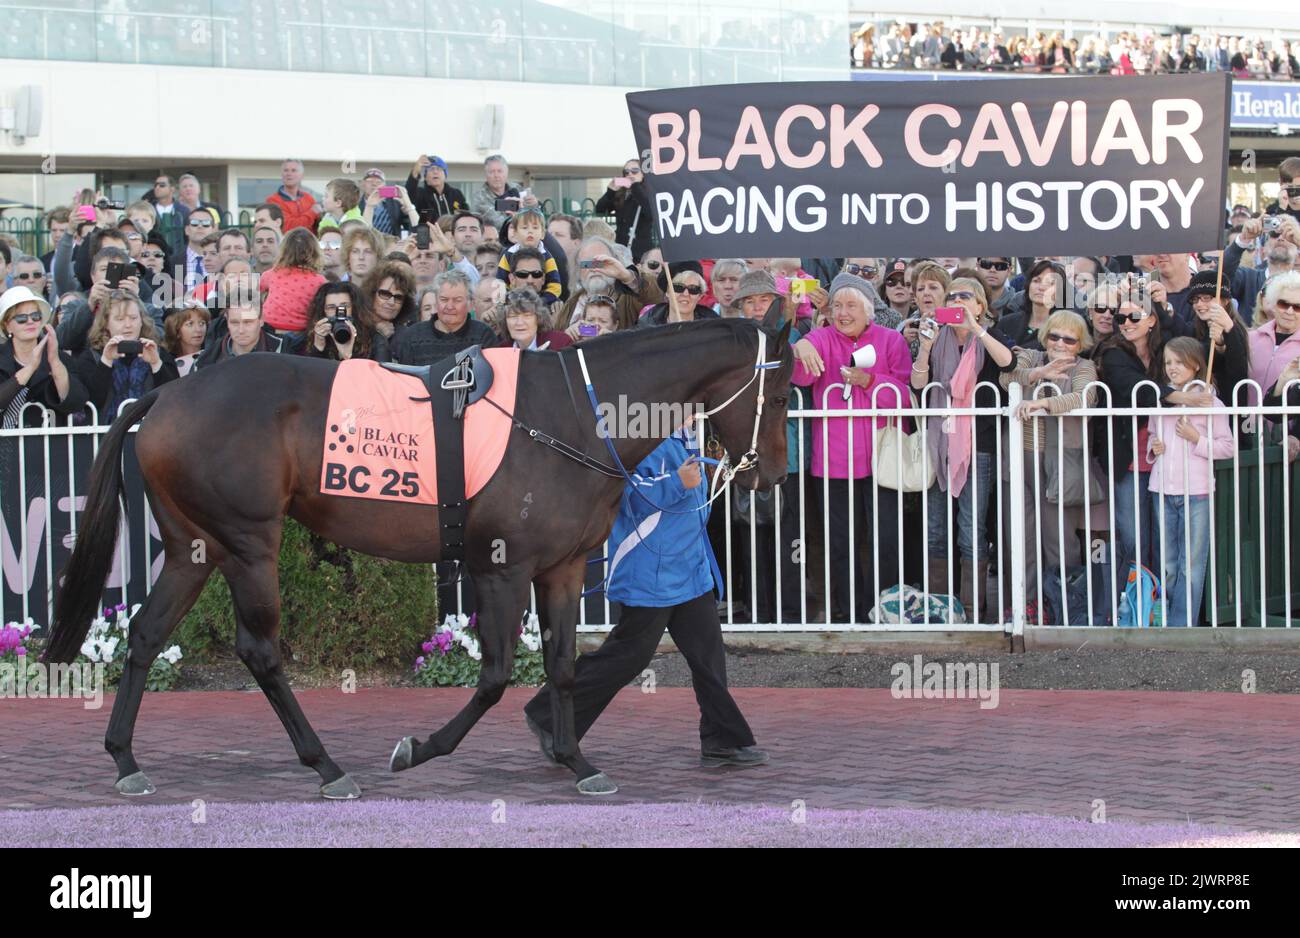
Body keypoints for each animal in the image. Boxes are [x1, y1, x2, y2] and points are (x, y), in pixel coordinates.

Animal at [43, 311, 794, 798]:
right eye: (784, 393)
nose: (774, 476)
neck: (572, 415)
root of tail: (167, 392)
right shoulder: (501, 566)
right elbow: (494, 676)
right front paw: (418, 750)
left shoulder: (560, 568)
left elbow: (562, 667)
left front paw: (575, 759)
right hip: (250, 542)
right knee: (259, 650)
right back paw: (326, 766)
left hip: (196, 546)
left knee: (145, 634)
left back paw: (124, 758)